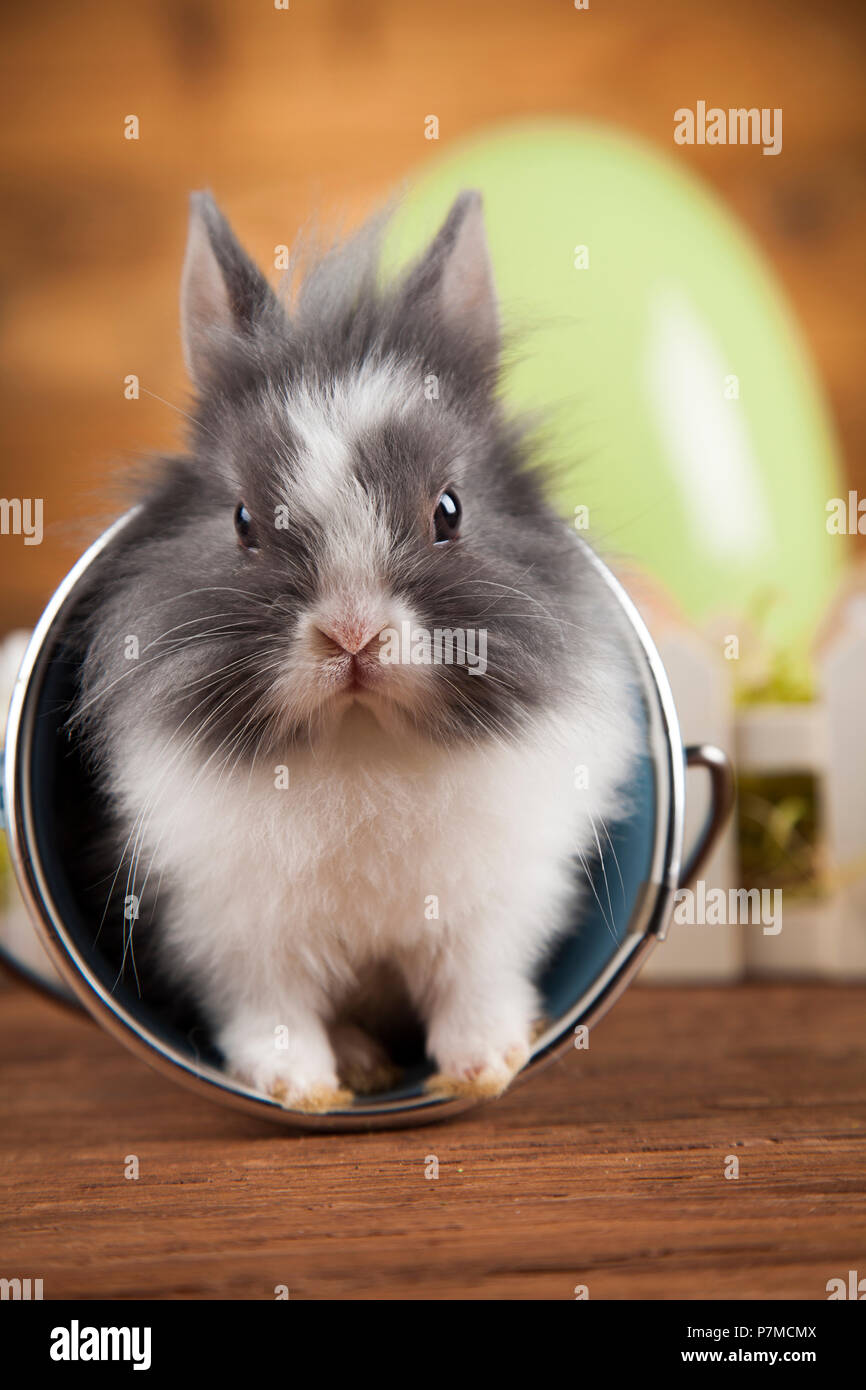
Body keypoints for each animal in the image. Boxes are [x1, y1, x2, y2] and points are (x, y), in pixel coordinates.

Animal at [70, 189, 642, 1111]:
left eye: (449, 509)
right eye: (242, 521)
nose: (352, 633)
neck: (360, 734)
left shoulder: (492, 912)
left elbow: (472, 986)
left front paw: (483, 1069)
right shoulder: (228, 929)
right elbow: (274, 1011)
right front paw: (302, 1088)